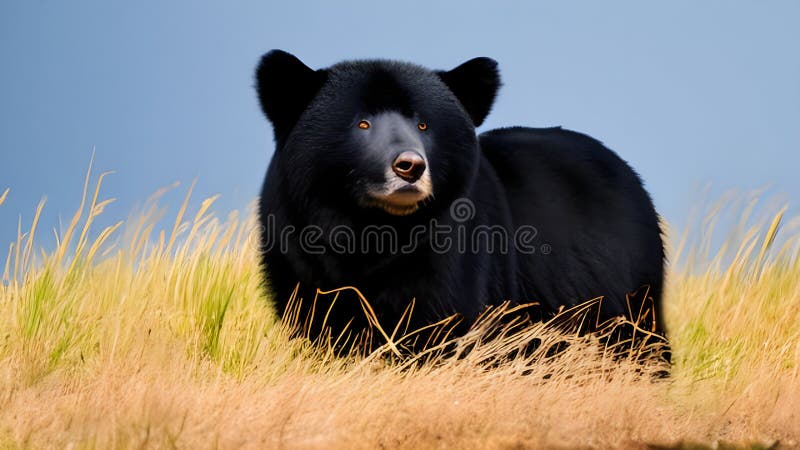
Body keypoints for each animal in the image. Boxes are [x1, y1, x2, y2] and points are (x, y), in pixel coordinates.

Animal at [254, 49, 666, 356]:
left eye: (423, 124)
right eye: (362, 123)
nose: (410, 166)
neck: (374, 228)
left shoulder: (456, 259)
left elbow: (443, 328)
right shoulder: (296, 248)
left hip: (630, 288)